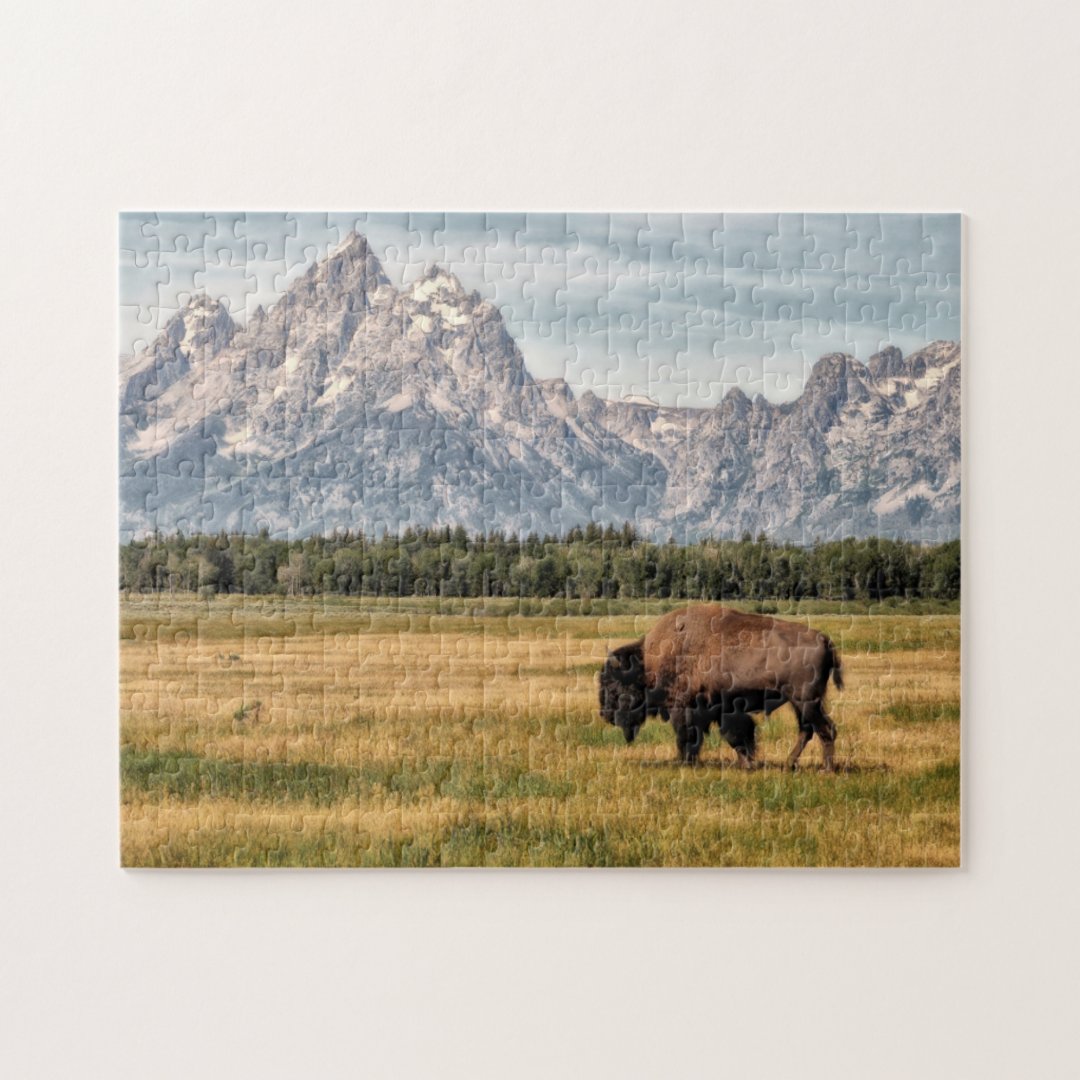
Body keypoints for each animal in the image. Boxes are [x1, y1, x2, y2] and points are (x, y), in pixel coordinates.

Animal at [598, 604, 843, 770]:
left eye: (613, 687)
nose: (605, 714)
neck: (648, 664)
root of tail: (823, 638)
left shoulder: (685, 708)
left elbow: (689, 736)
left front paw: (685, 762)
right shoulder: (723, 709)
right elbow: (737, 736)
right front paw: (747, 763)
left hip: (805, 701)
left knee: (824, 729)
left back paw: (826, 769)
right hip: (801, 703)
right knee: (808, 730)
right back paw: (789, 764)